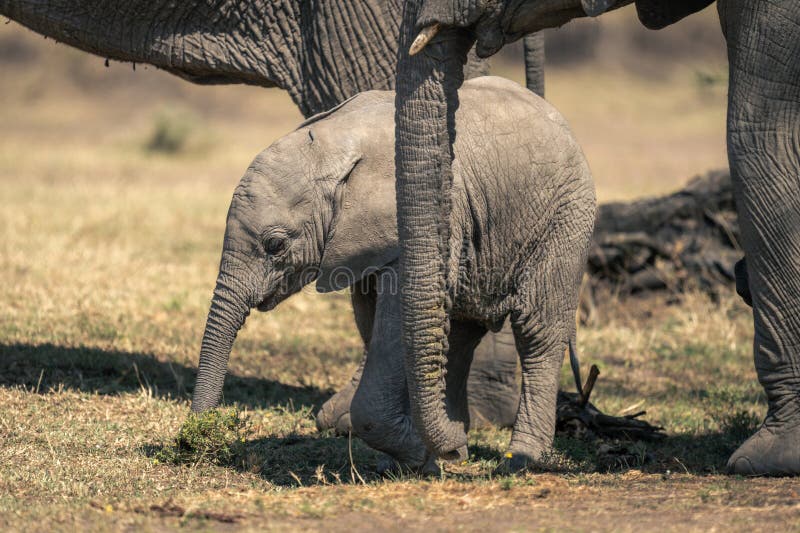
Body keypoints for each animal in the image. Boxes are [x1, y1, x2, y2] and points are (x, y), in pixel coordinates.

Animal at [190, 76, 595, 470]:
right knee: (460, 331)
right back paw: (456, 444)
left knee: (537, 330)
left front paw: (421, 458)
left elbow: (398, 322)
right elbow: (378, 323)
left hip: (566, 216)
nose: (196, 436)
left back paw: (518, 460)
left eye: (274, 244)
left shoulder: (429, 222)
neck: (331, 147)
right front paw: (420, 458)